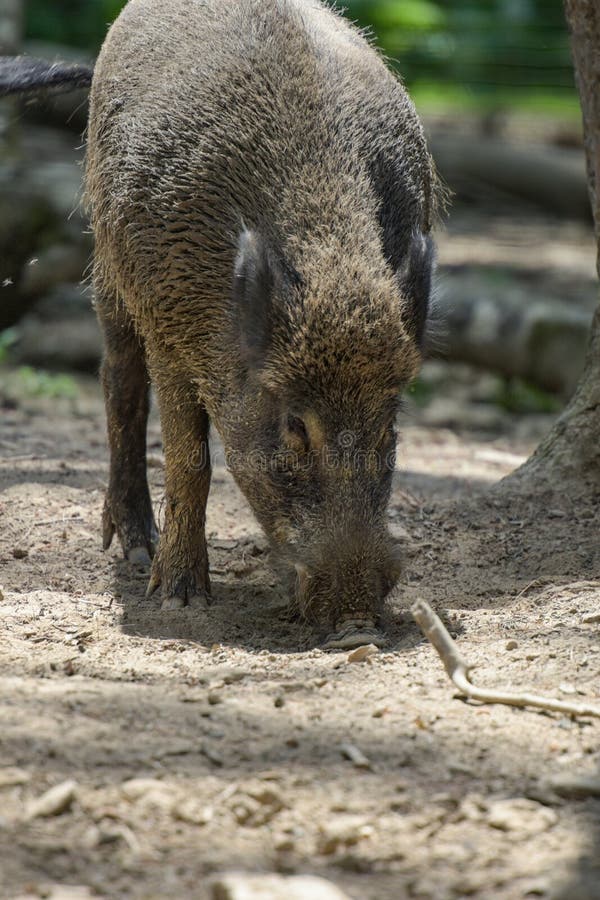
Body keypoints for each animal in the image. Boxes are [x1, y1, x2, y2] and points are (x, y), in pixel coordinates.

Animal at [5, 0, 441, 647]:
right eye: (294, 423)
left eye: (390, 420)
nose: (357, 625)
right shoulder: (168, 325)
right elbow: (190, 457)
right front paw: (179, 598)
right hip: (108, 264)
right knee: (120, 382)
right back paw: (137, 550)